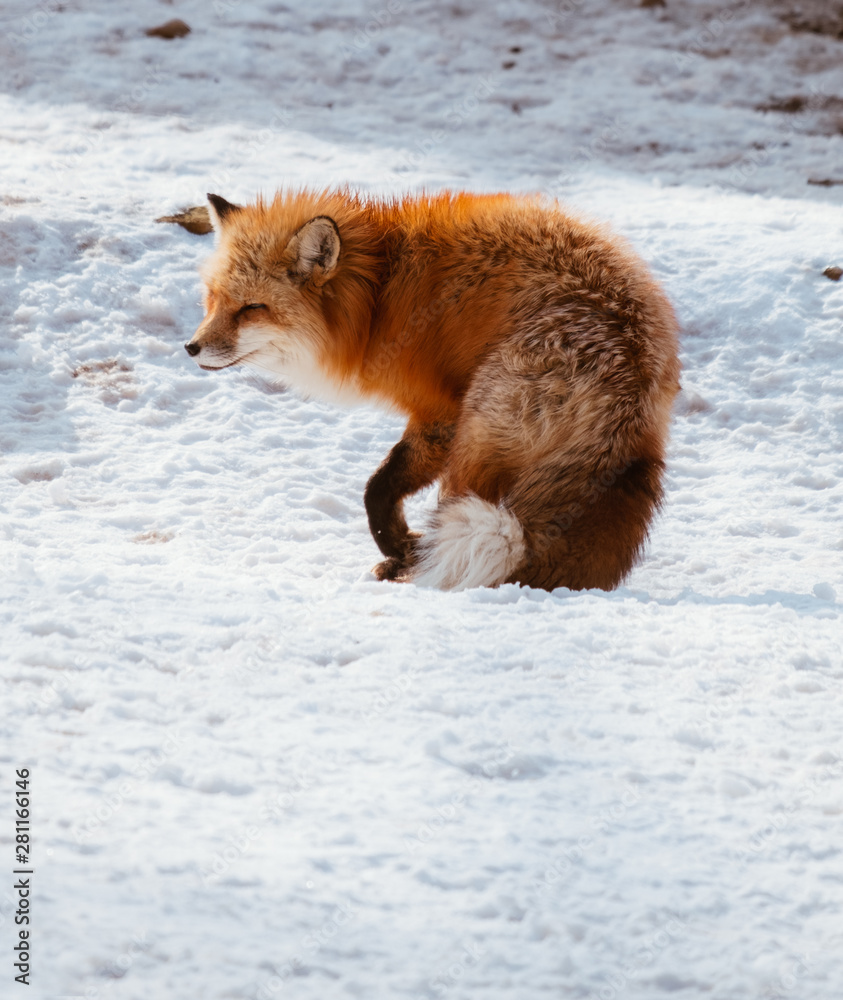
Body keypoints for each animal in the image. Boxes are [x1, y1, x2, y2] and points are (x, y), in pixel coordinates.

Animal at [185, 188, 680, 592]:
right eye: (213, 299)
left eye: (251, 309)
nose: (191, 348)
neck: (378, 293)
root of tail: (629, 377)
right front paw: (401, 548)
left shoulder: (439, 413)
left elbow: (379, 487)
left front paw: (397, 547)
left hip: (474, 437)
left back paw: (418, 570)